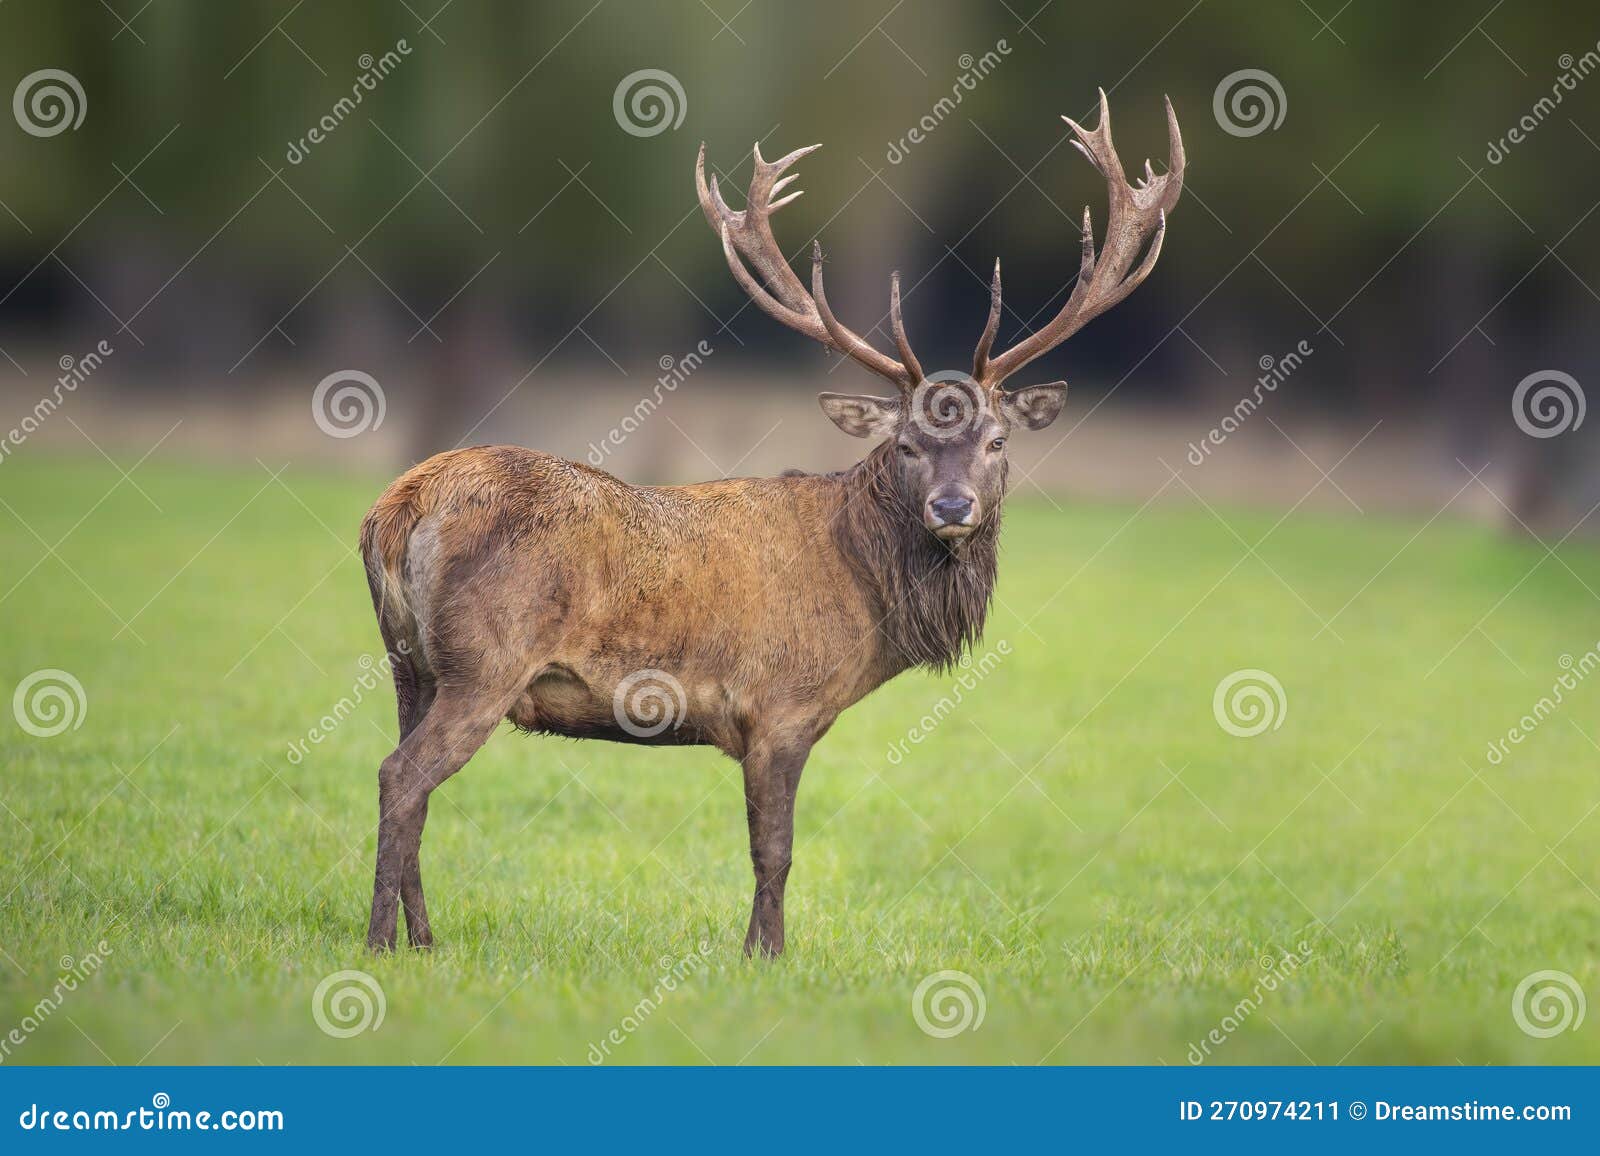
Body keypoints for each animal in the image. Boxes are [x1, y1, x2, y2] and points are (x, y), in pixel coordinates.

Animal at [359, 91, 1184, 956]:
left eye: (998, 441)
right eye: (907, 443)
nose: (953, 507)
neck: (868, 600)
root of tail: (398, 506)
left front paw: (758, 949)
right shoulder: (780, 706)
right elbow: (776, 849)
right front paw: (767, 955)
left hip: (408, 661)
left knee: (402, 774)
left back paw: (424, 939)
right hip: (485, 661)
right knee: (401, 775)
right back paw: (381, 941)